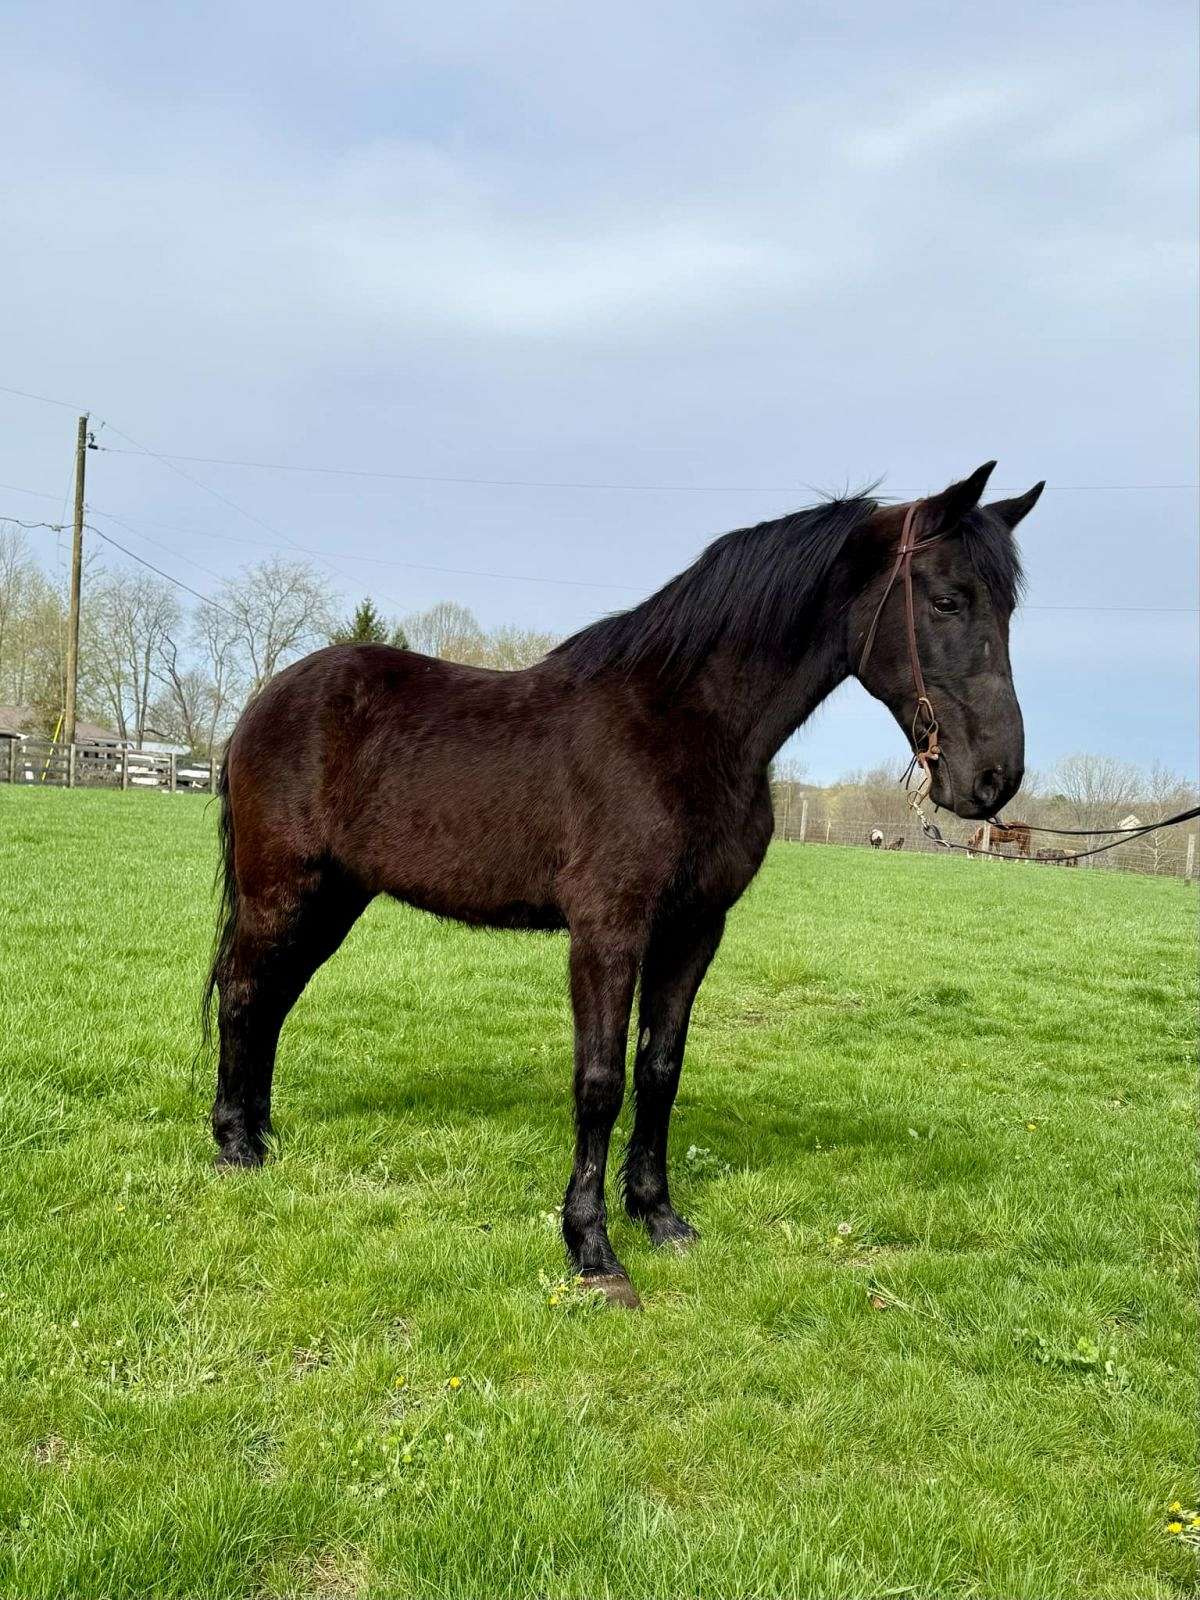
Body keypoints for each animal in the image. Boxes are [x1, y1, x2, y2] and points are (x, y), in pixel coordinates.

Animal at [205, 461, 1043, 1308]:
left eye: (1007, 607)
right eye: (947, 599)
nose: (993, 779)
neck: (683, 726)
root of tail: (266, 701)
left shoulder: (695, 928)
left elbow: (659, 1069)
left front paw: (659, 1217)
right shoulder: (608, 929)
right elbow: (600, 1080)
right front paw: (593, 1251)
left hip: (334, 900)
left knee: (273, 1000)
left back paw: (262, 1132)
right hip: (282, 891)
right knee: (244, 991)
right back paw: (234, 1147)